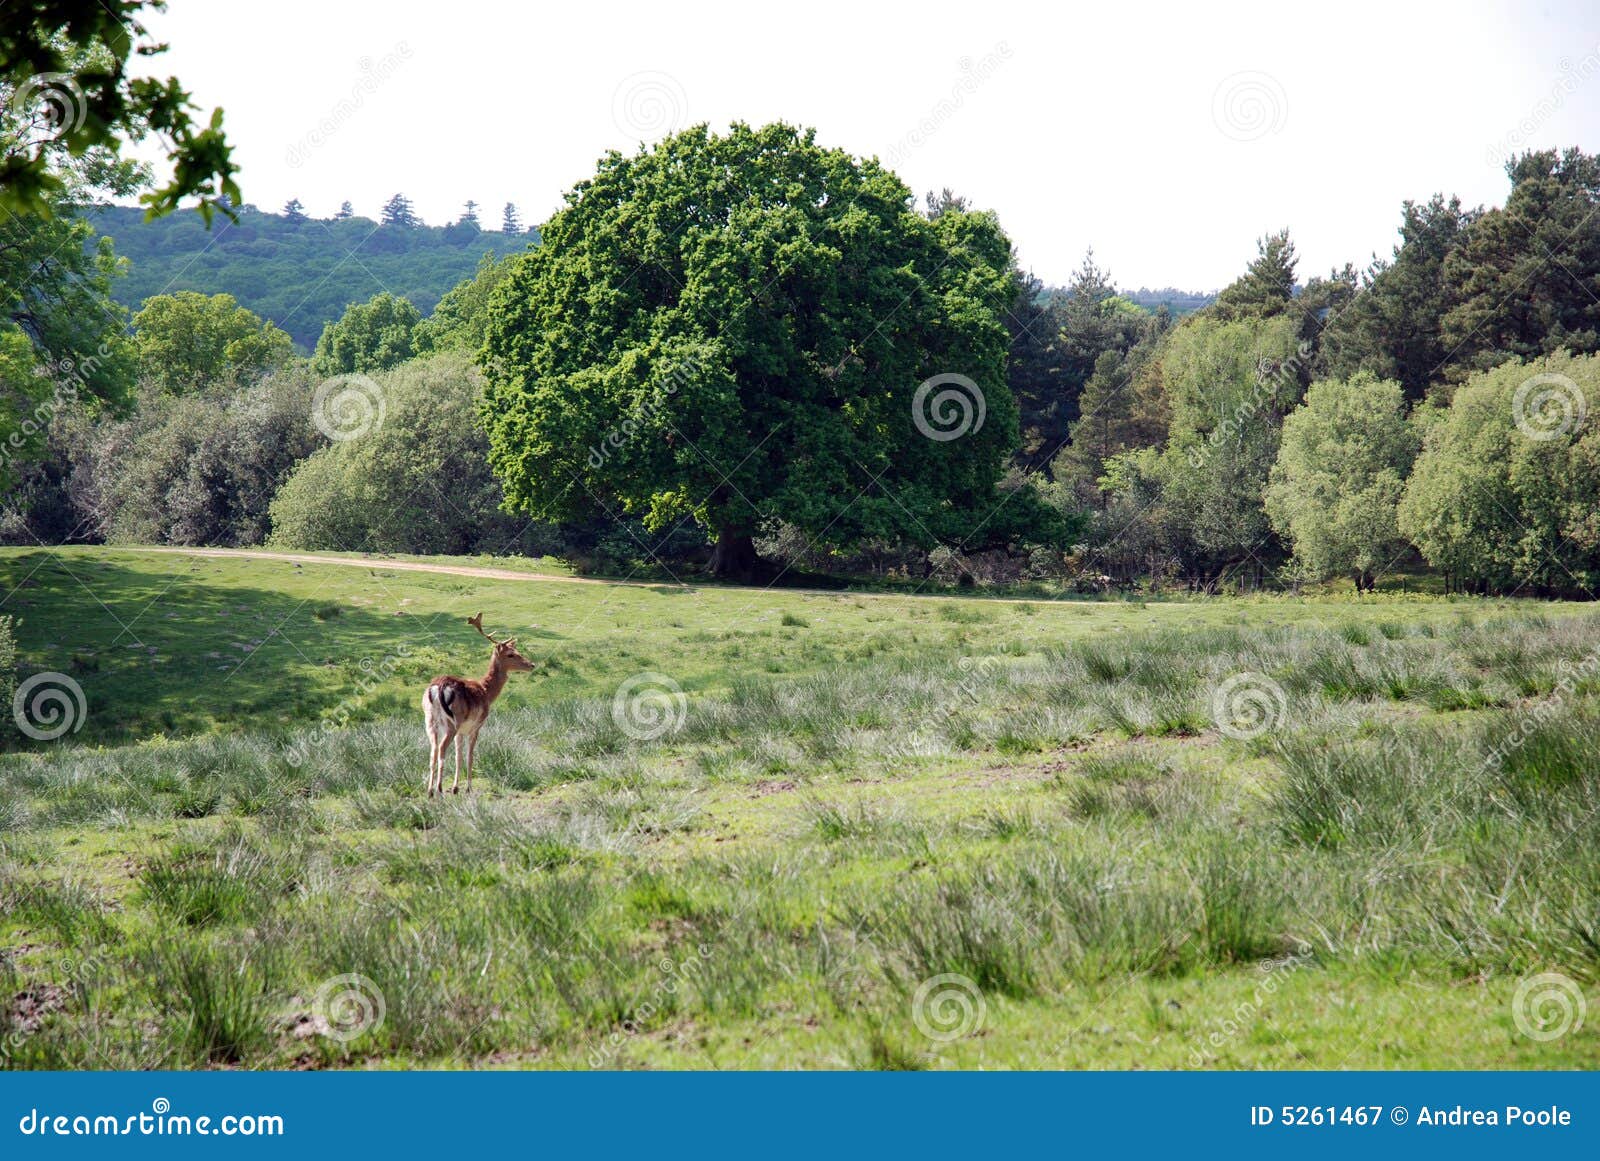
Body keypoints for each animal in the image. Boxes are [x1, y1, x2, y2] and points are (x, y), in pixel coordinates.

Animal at [421, 612, 534, 797]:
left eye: (517, 651)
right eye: (510, 654)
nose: (531, 664)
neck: (487, 692)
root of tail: (437, 688)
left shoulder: (462, 730)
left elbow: (458, 756)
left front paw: (455, 788)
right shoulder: (476, 725)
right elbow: (470, 755)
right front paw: (468, 788)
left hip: (429, 721)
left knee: (433, 751)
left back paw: (430, 791)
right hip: (452, 721)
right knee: (442, 750)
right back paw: (439, 789)